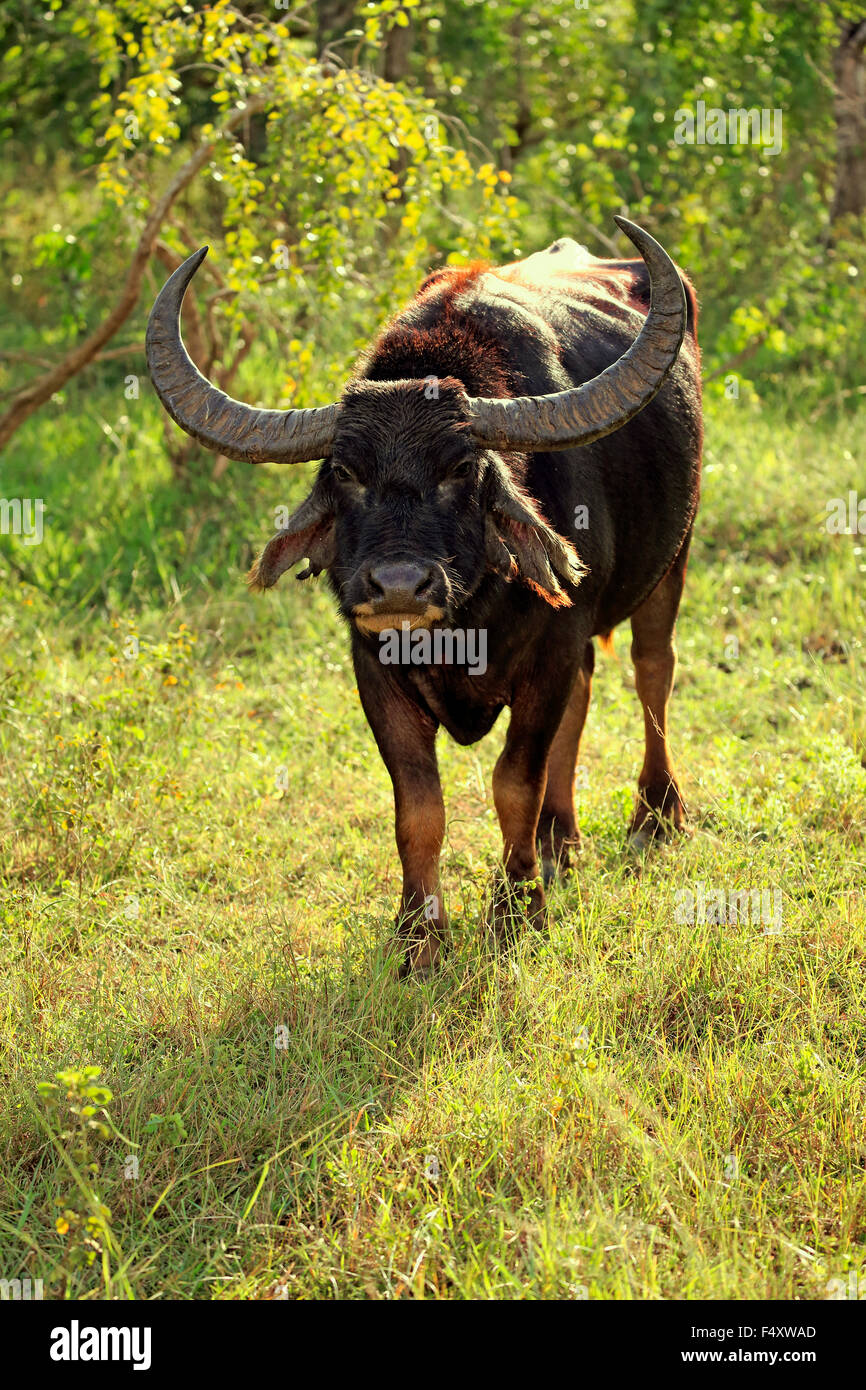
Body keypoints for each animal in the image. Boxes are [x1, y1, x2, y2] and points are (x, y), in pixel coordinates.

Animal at [147, 217, 702, 974]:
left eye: (462, 468)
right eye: (344, 472)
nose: (399, 586)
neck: (466, 621)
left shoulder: (549, 651)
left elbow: (513, 782)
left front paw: (516, 910)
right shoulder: (376, 671)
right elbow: (418, 808)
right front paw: (419, 934)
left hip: (674, 555)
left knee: (653, 672)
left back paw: (654, 813)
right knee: (588, 693)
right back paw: (560, 839)